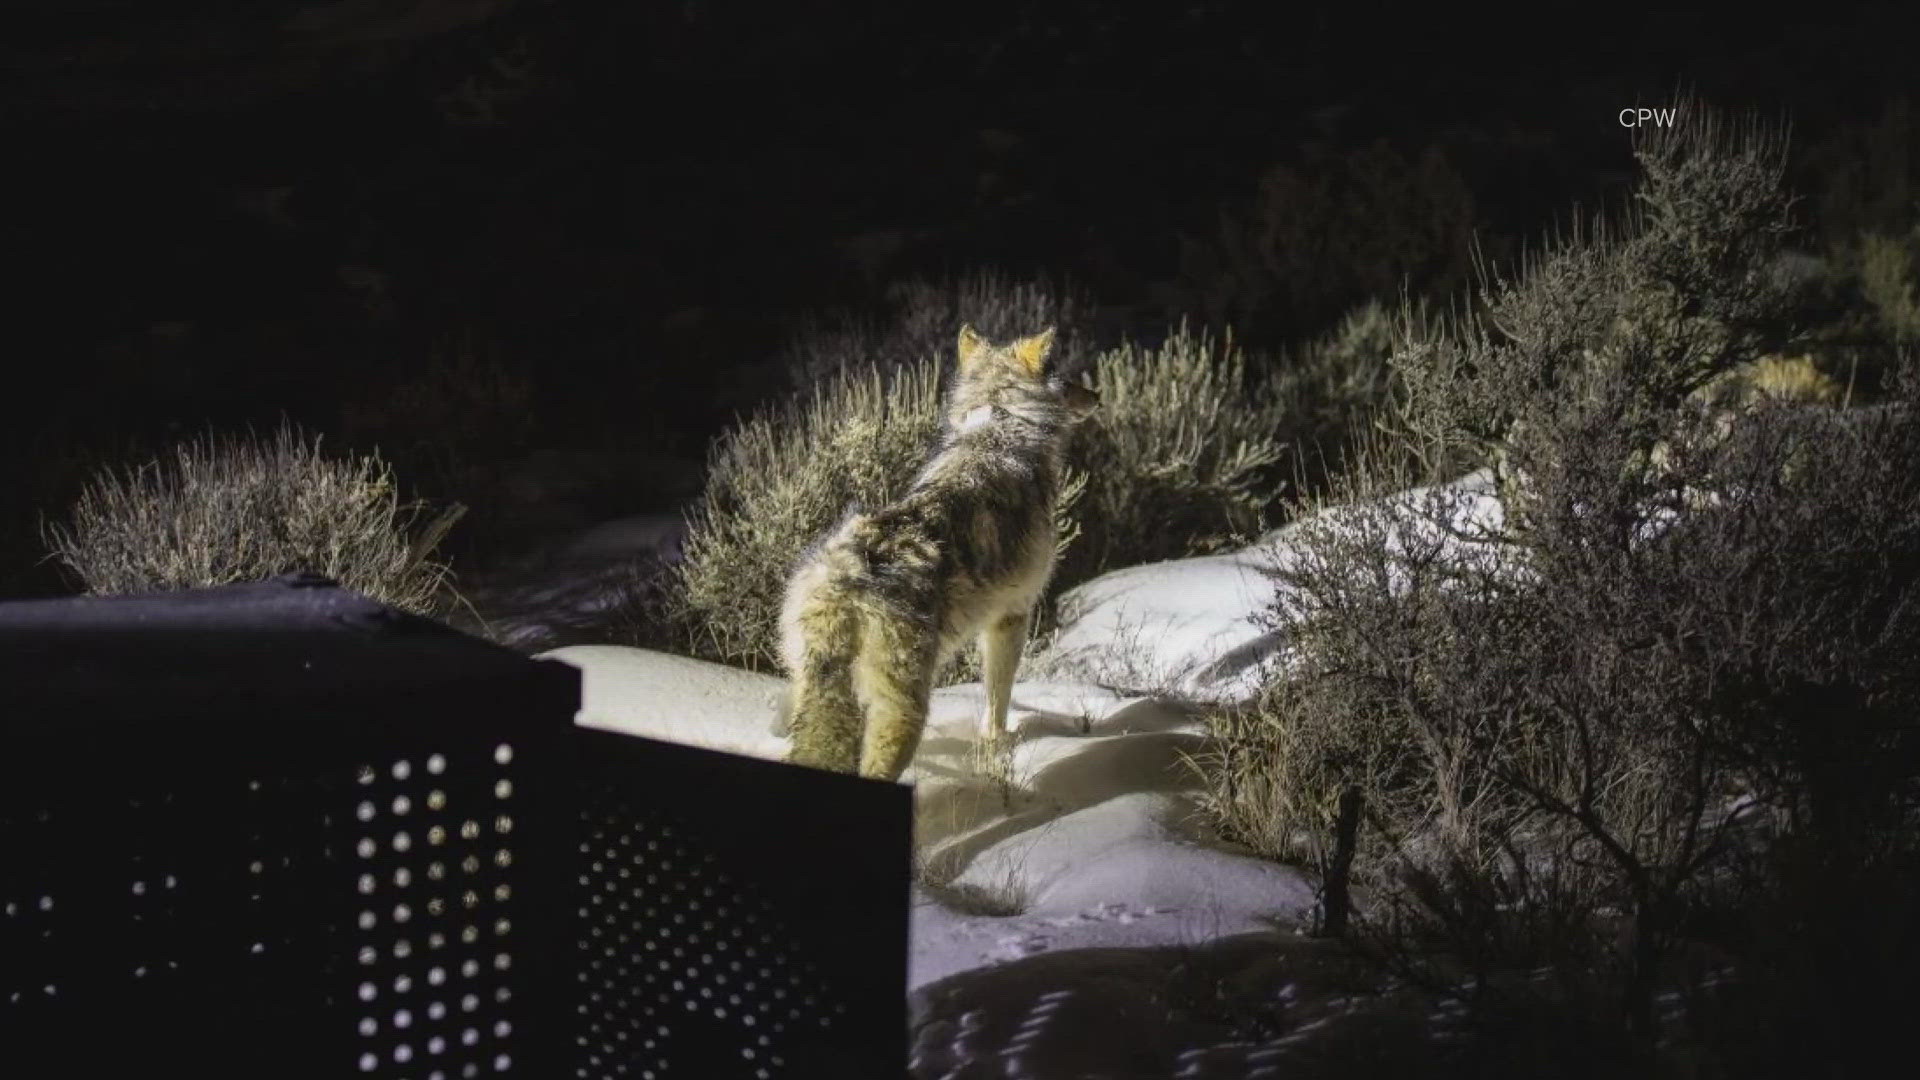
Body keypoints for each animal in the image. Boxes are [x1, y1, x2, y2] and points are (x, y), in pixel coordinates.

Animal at [776, 324, 1098, 781]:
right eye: (1064, 376)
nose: (1097, 396)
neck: (1002, 423)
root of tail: (843, 578)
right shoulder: (1012, 616)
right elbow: (998, 699)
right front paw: (1000, 746)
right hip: (904, 714)